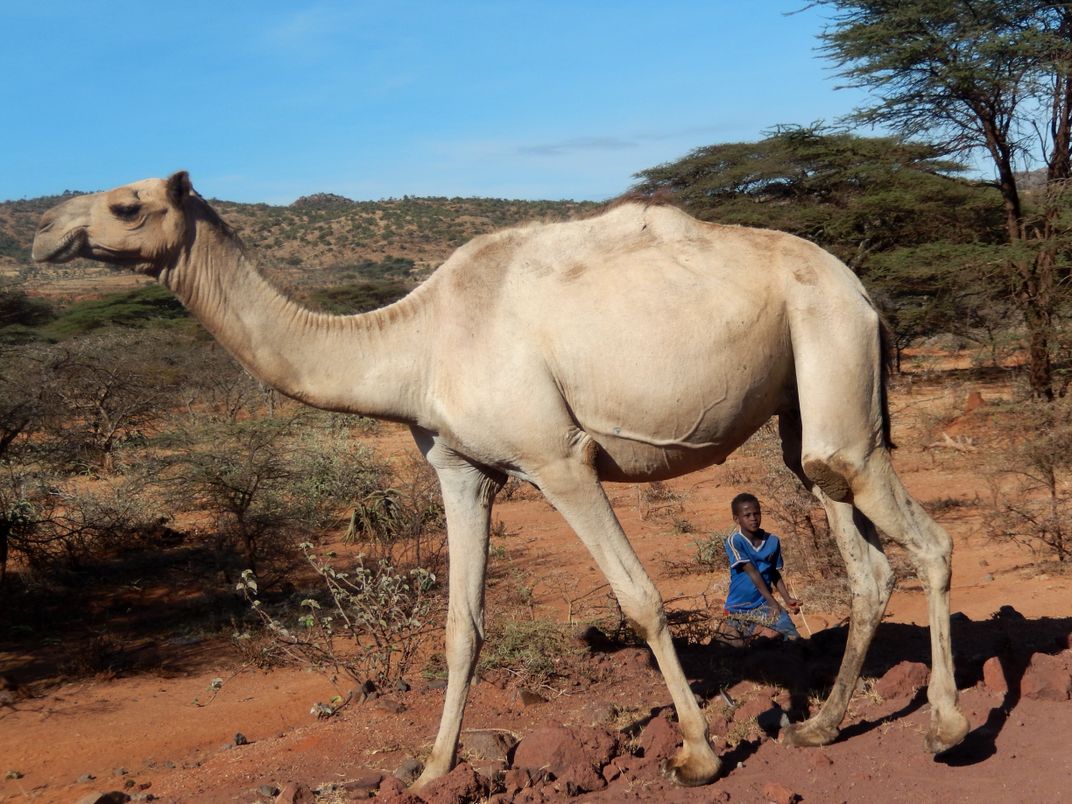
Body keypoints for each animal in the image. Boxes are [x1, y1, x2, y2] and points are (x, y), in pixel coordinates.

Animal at [32, 172, 970, 788]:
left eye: (125, 202)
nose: (43, 229)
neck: (411, 345)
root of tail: (865, 293)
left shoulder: (557, 457)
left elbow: (640, 599)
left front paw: (698, 752)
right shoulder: (461, 468)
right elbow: (461, 625)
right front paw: (431, 769)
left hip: (833, 352)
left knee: (923, 539)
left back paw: (948, 726)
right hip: (799, 412)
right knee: (857, 543)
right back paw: (820, 727)